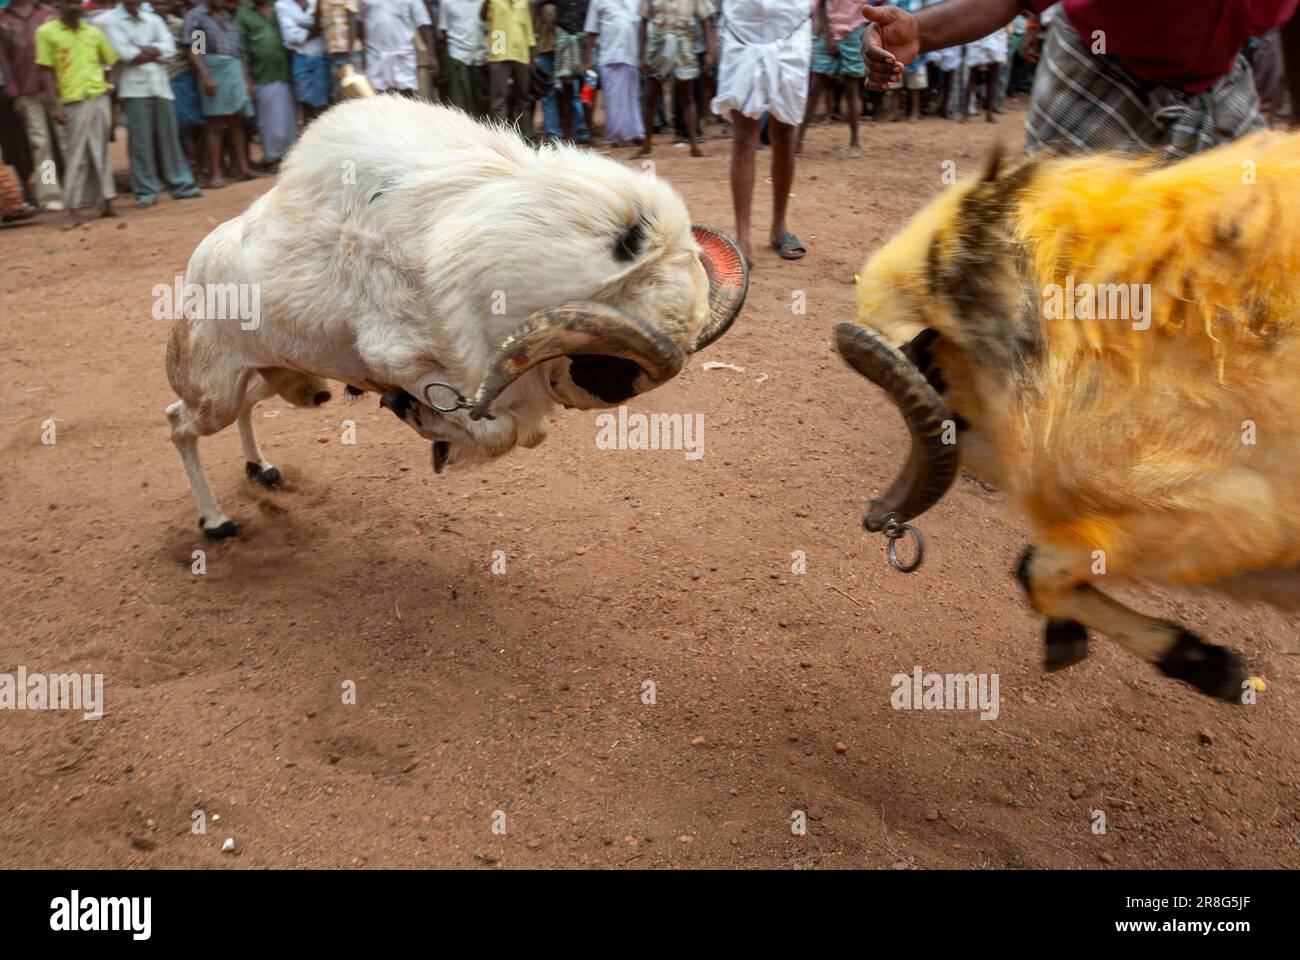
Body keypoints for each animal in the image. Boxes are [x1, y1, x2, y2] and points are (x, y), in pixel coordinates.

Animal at [165, 96, 747, 539]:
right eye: (612, 366)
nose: (581, 390)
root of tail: (197, 265)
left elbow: (521, 433)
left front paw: (435, 435)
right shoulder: (403, 361)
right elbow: (504, 434)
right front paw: (424, 424)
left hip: (275, 373)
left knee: (246, 407)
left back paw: (261, 469)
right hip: (213, 388)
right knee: (178, 424)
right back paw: (215, 522)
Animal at [836, 131, 1300, 702]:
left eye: (931, 371)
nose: (878, 519)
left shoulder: (1227, 516)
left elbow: (1040, 570)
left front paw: (1213, 667)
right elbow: (1034, 569)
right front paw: (1208, 664)